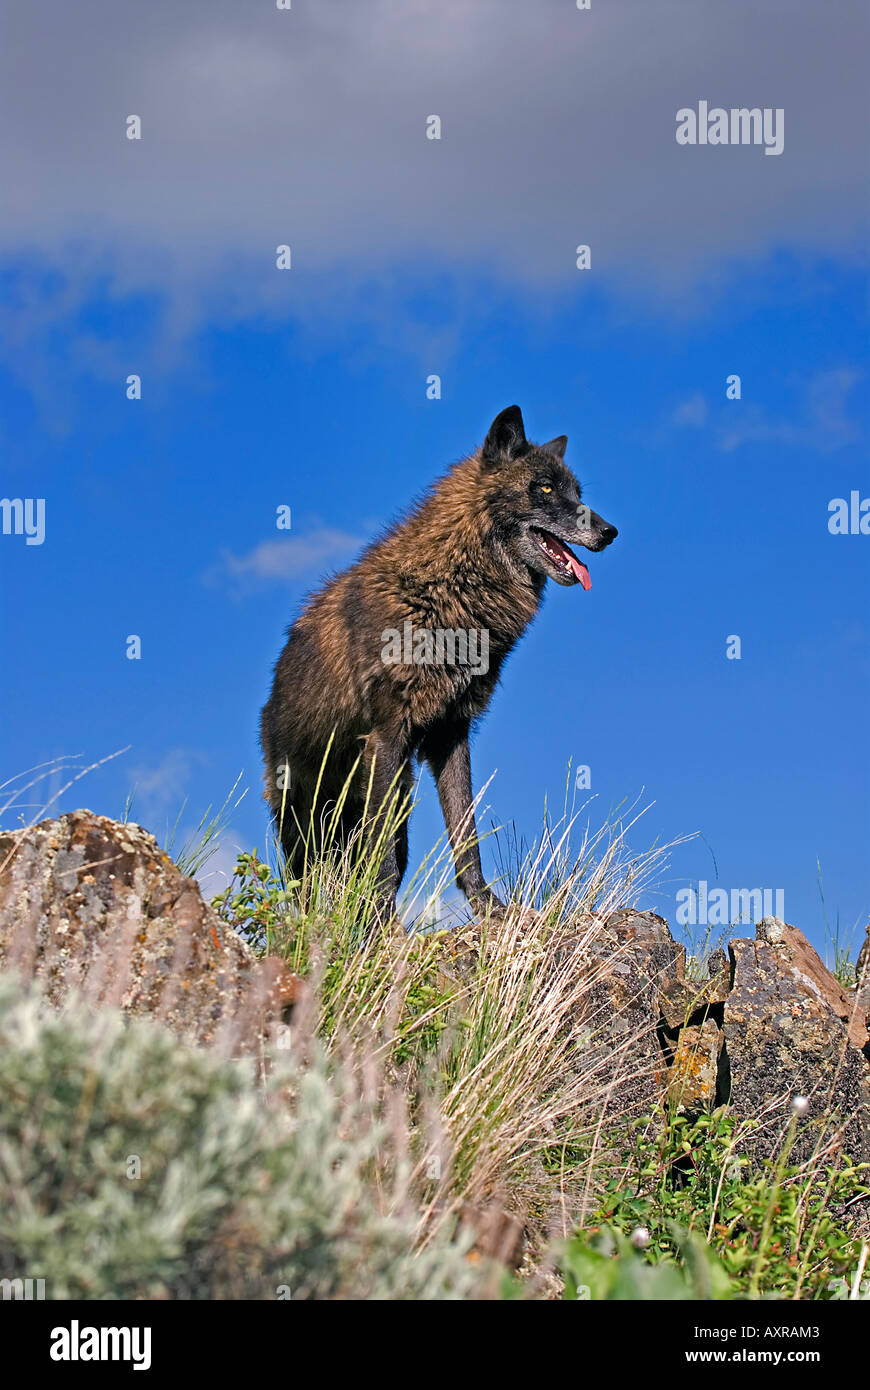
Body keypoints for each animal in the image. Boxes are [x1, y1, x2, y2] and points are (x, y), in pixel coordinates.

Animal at [260, 405, 617, 918]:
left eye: (577, 494)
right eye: (545, 489)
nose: (610, 532)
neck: (451, 590)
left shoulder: (451, 733)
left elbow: (466, 836)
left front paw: (489, 910)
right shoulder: (386, 735)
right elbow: (383, 860)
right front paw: (383, 929)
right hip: (305, 820)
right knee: (310, 883)